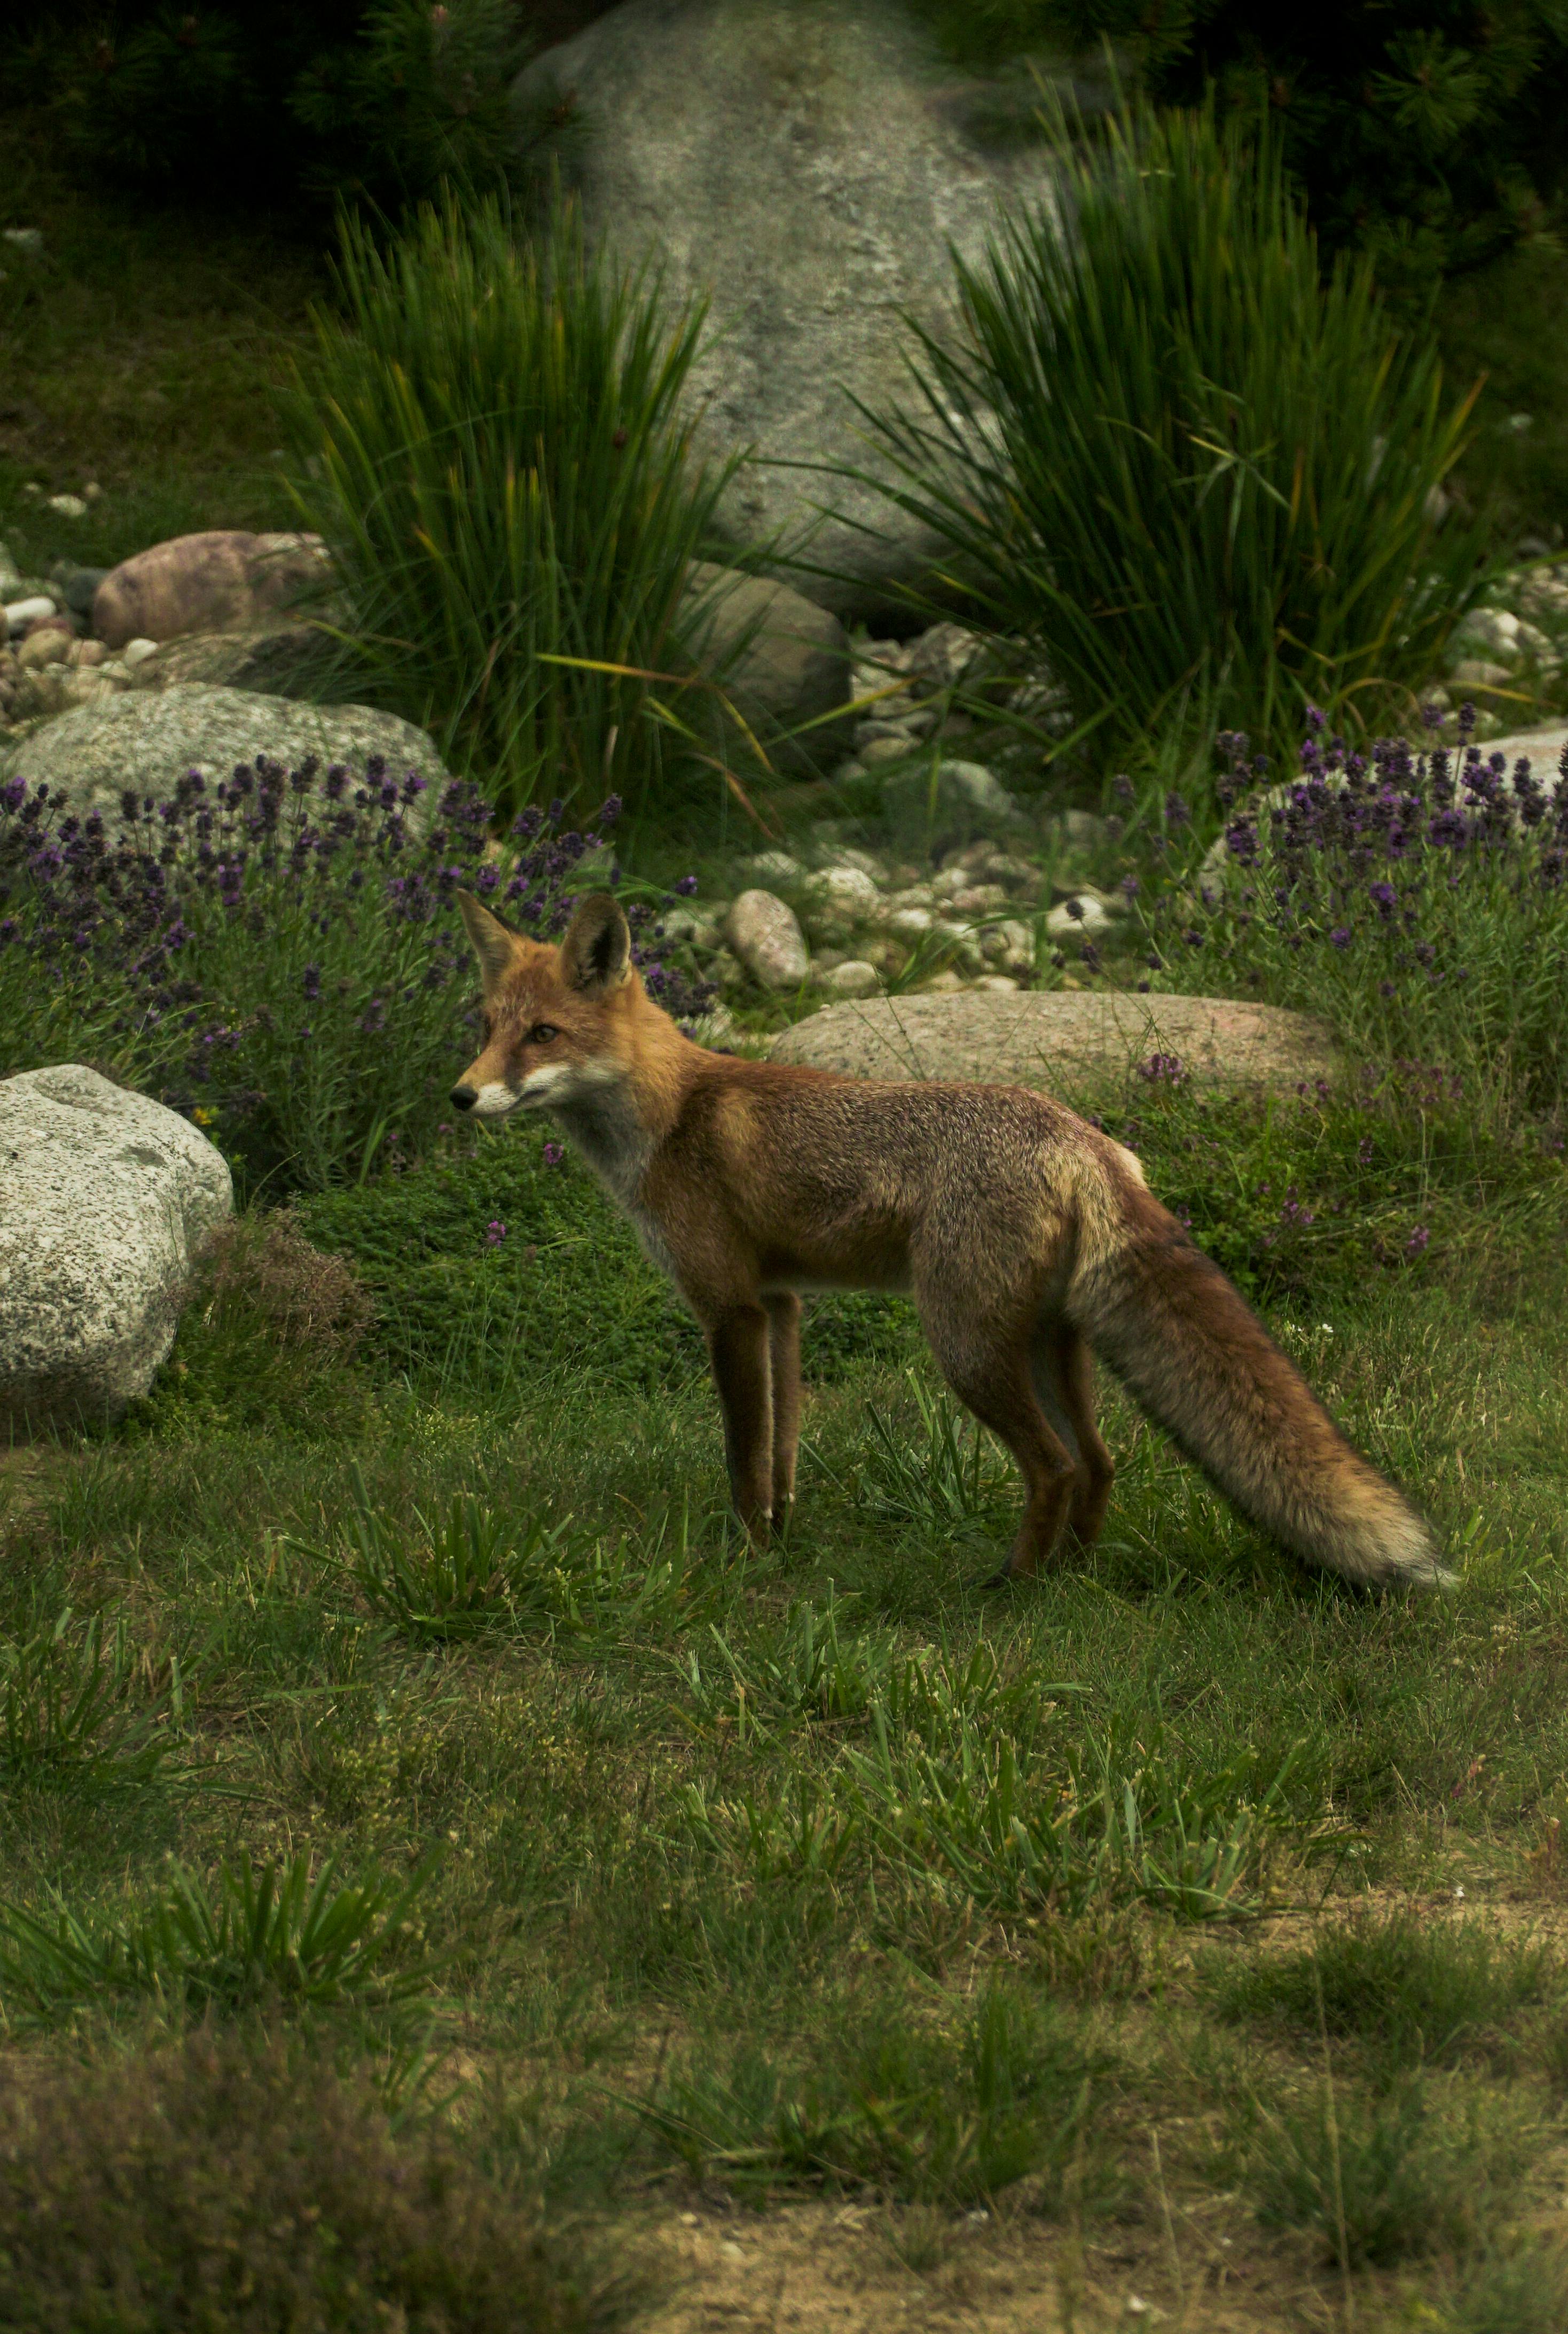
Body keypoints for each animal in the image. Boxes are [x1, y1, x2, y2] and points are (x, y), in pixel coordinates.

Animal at [448, 889, 1449, 1592]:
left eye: (543, 1035)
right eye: (487, 1029)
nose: (459, 1095)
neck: (669, 1115)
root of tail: (1084, 1138)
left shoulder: (728, 1306)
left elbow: (743, 1455)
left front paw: (743, 1558)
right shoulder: (782, 1302)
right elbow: (782, 1450)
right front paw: (783, 1542)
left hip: (965, 1346)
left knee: (1053, 1465)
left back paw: (1012, 1586)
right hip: (1047, 1341)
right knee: (1099, 1460)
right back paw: (1074, 1579)